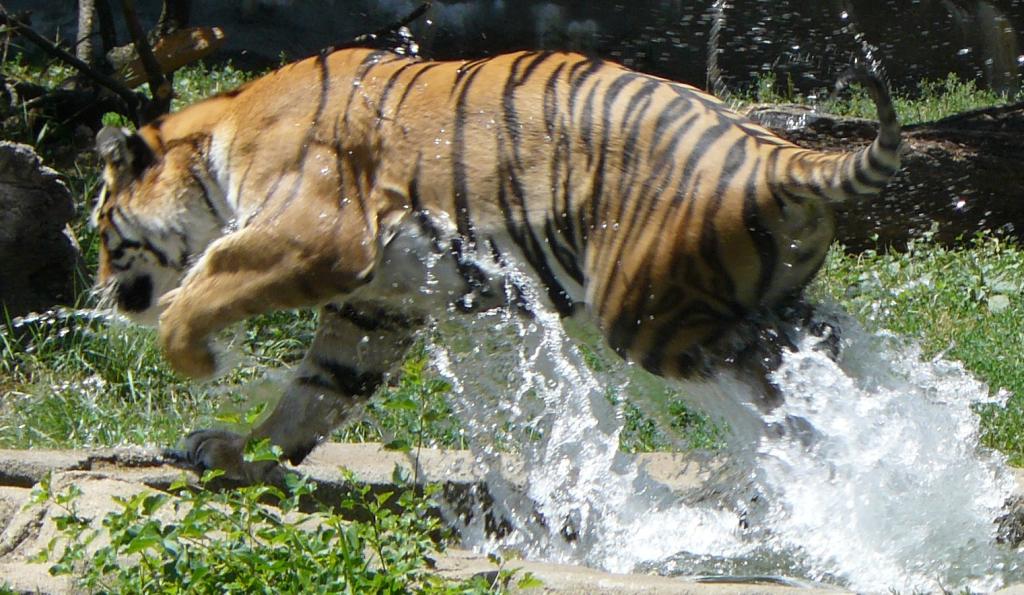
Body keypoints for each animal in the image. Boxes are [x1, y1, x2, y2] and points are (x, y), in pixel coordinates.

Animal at [92, 48, 900, 482]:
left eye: (102, 230)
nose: (102, 291)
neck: (220, 137)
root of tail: (776, 153)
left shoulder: (316, 234)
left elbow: (200, 296)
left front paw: (200, 360)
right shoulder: (377, 306)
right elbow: (318, 392)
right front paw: (238, 451)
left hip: (649, 315)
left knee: (788, 389)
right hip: (767, 295)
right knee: (825, 352)